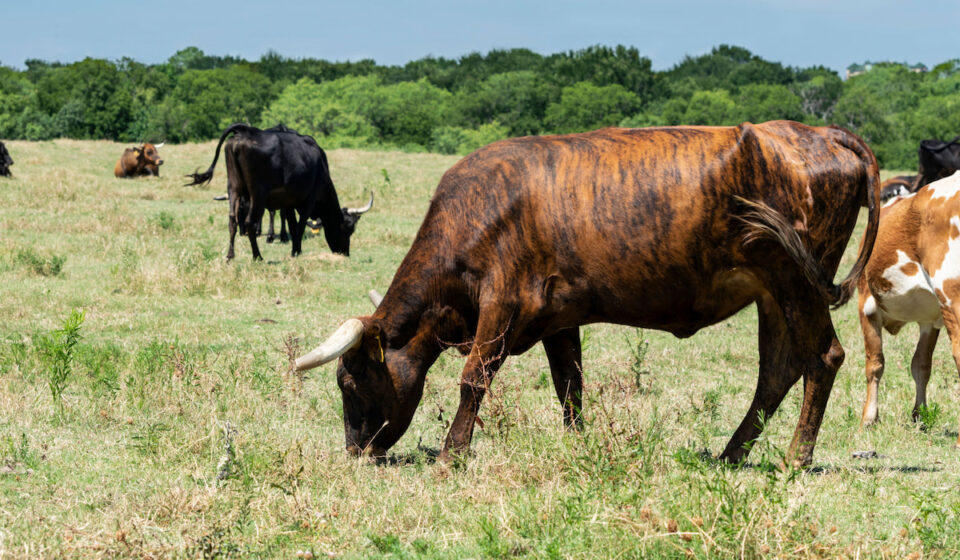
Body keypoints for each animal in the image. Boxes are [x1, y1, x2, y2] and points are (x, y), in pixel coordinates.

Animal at [186, 123, 372, 260]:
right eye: (349, 229)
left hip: (234, 188)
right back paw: (258, 256)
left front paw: (294, 249)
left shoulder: (288, 202)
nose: (345, 253)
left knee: (232, 219)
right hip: (257, 194)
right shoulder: (308, 200)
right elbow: (299, 226)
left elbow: (292, 224)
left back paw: (230, 256)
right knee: (249, 222)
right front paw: (297, 252)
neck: (321, 167)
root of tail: (246, 131)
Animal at [292, 121, 881, 468]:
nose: (355, 452)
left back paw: (795, 459)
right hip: (772, 292)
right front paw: (578, 448)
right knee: (778, 369)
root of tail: (821, 132)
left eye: (349, 381)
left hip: (798, 281)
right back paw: (731, 454)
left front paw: (452, 455)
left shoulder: (504, 304)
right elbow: (569, 387)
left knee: (823, 356)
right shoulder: (558, 317)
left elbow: (473, 379)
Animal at [858, 170, 960, 445]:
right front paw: (918, 415)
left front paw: (869, 419)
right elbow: (917, 365)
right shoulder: (930, 318)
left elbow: (876, 364)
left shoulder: (866, 304)